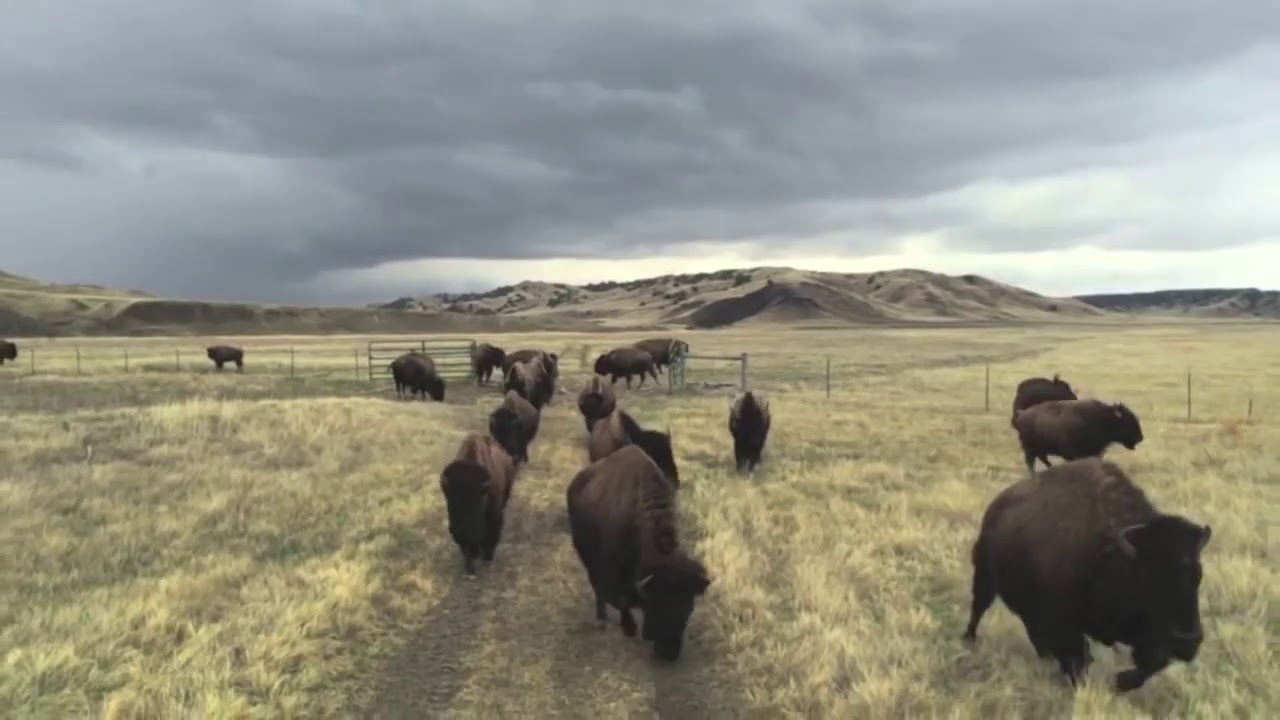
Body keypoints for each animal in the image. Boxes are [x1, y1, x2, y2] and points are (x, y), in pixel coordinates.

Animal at [439, 432, 518, 577]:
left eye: (477, 503)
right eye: (449, 501)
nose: (457, 530)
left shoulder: (494, 519)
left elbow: (491, 538)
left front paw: (487, 560)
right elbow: (467, 550)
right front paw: (470, 569)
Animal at [566, 444, 712, 661]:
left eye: (689, 608)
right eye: (658, 605)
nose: (669, 654)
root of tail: (575, 484)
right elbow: (621, 601)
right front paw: (630, 629)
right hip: (586, 556)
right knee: (597, 589)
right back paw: (601, 619)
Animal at [962, 457, 1211, 692]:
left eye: (1198, 576)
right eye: (1150, 581)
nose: (1189, 641)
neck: (1111, 553)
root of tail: (995, 508)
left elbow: (1151, 664)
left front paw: (1120, 681)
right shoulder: (1064, 622)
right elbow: (1076, 656)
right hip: (984, 578)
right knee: (979, 607)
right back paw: (970, 639)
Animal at [1012, 399, 1143, 475]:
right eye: (1129, 421)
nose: (1140, 437)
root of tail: (1022, 414)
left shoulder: (1094, 452)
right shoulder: (1074, 454)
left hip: (1037, 449)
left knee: (1041, 459)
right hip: (1030, 448)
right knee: (1032, 462)